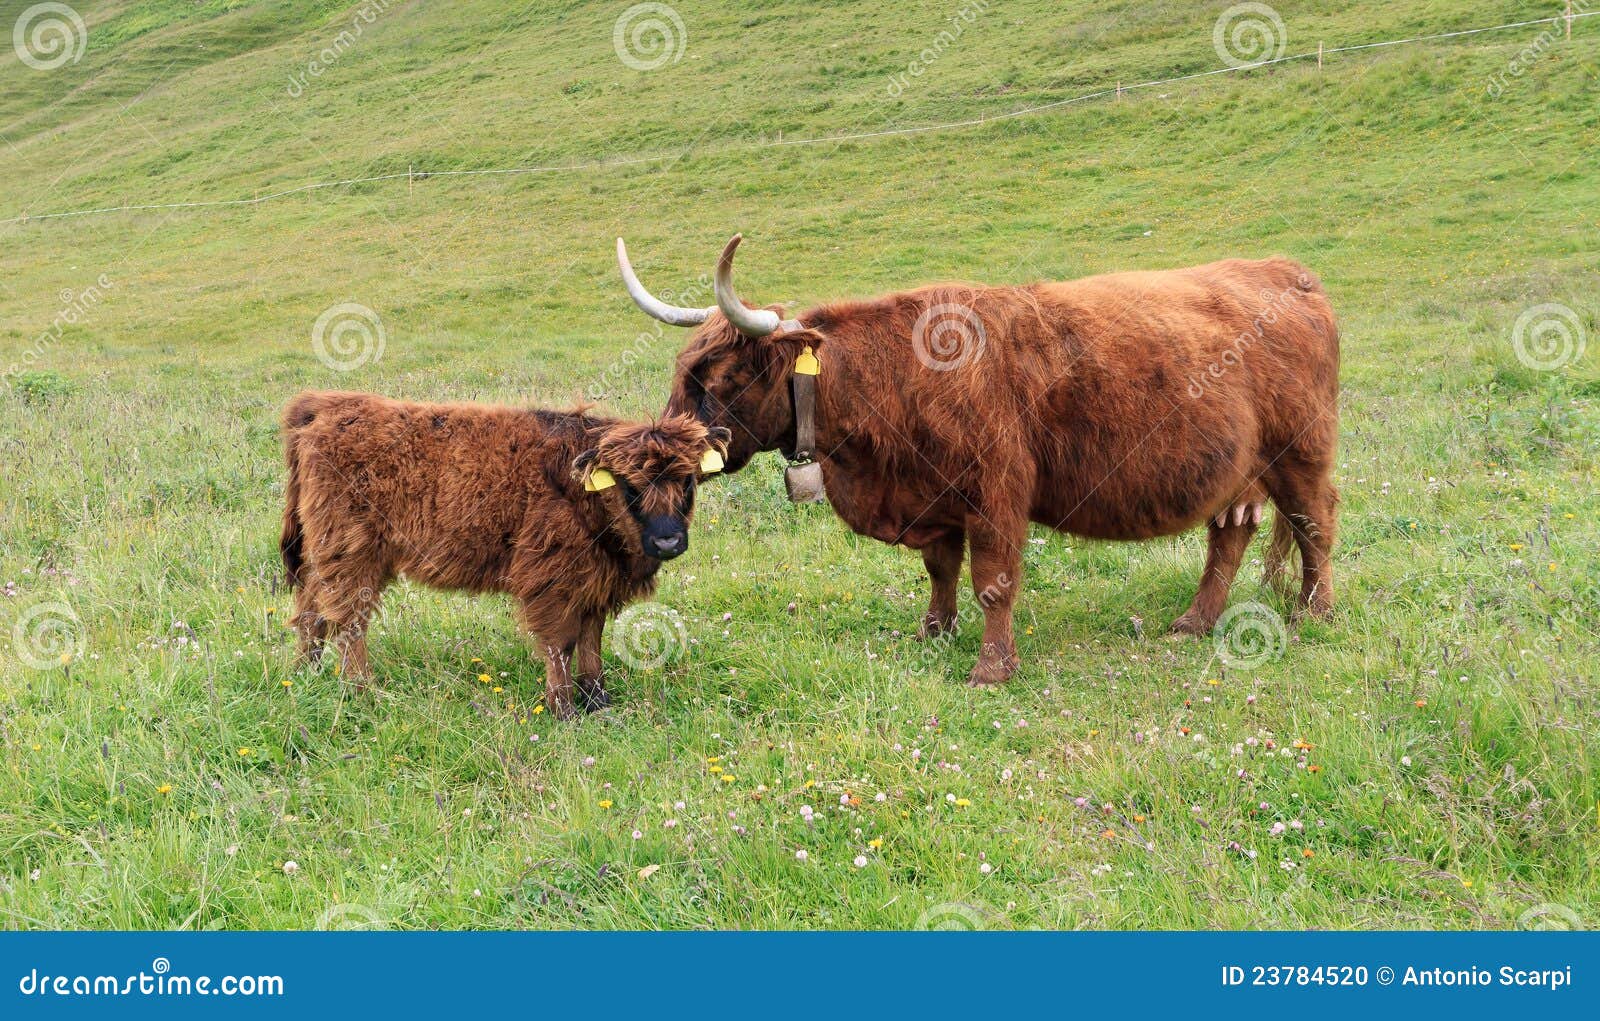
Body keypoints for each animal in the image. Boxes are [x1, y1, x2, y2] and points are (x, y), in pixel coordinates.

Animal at [279, 390, 729, 718]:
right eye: (630, 487)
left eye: (688, 482)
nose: (668, 542)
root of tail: (327, 405)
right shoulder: (551, 580)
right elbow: (561, 645)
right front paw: (564, 710)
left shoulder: (594, 581)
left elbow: (592, 639)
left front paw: (598, 700)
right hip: (350, 552)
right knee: (348, 621)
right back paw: (360, 690)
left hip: (327, 553)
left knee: (311, 610)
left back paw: (304, 673)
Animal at [615, 235, 1339, 687]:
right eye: (684, 367)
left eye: (724, 376)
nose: (666, 450)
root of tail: (1282, 270)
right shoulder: (934, 501)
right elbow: (941, 570)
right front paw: (934, 631)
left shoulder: (998, 493)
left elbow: (993, 580)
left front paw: (991, 667)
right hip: (1239, 469)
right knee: (1231, 535)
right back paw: (1195, 621)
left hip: (1302, 452)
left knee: (1315, 526)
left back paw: (1315, 613)